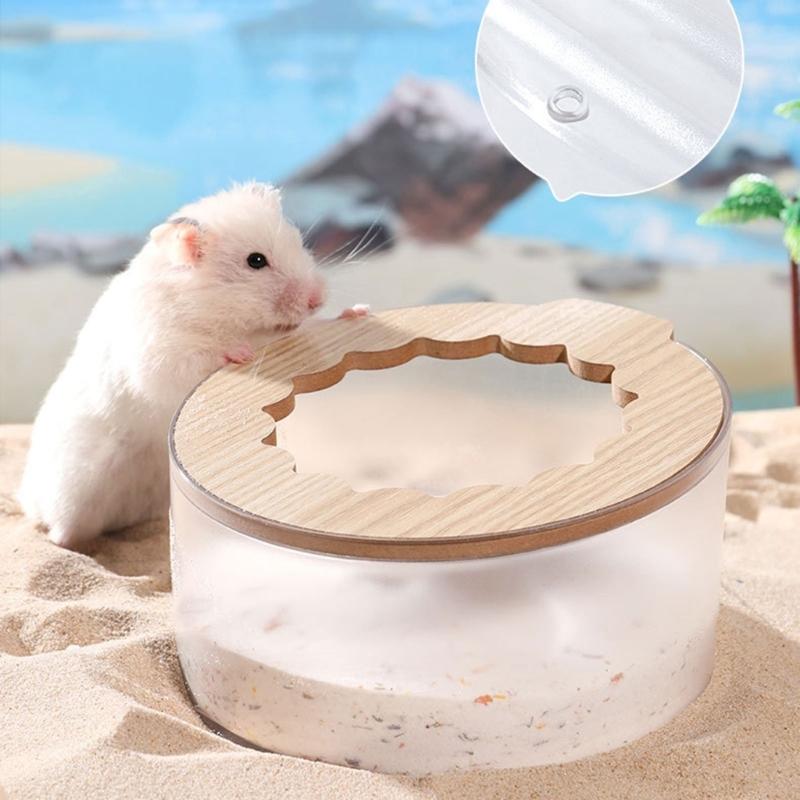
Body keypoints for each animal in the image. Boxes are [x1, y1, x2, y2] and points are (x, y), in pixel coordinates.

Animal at [18, 181, 364, 549]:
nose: (318, 298)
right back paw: (61, 540)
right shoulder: (160, 355)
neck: (208, 304)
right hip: (75, 489)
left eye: (298, 242)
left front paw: (355, 312)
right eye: (256, 261)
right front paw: (240, 353)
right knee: (59, 531)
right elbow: (199, 357)